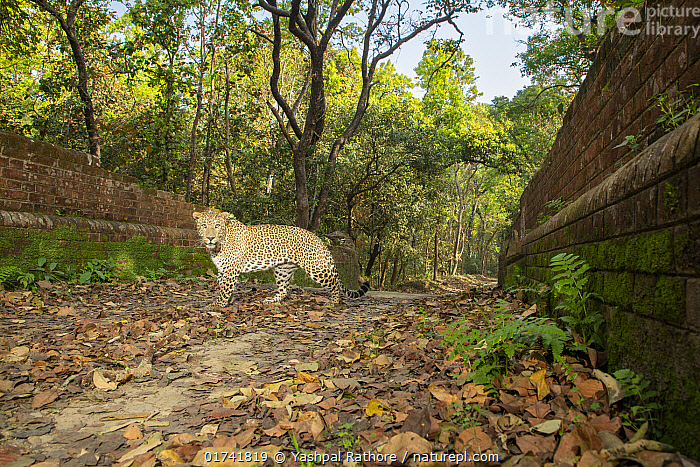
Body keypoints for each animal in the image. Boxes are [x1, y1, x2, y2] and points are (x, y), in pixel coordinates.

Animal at [193, 211, 370, 307]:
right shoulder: (223, 270)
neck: (218, 246)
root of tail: (319, 240)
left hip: (315, 267)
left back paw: (333, 302)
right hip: (283, 269)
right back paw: (271, 300)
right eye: (204, 226)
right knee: (284, 289)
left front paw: (217, 305)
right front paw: (228, 302)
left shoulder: (230, 270)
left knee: (334, 283)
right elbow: (223, 286)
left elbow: (224, 289)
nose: (210, 238)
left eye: (217, 226)